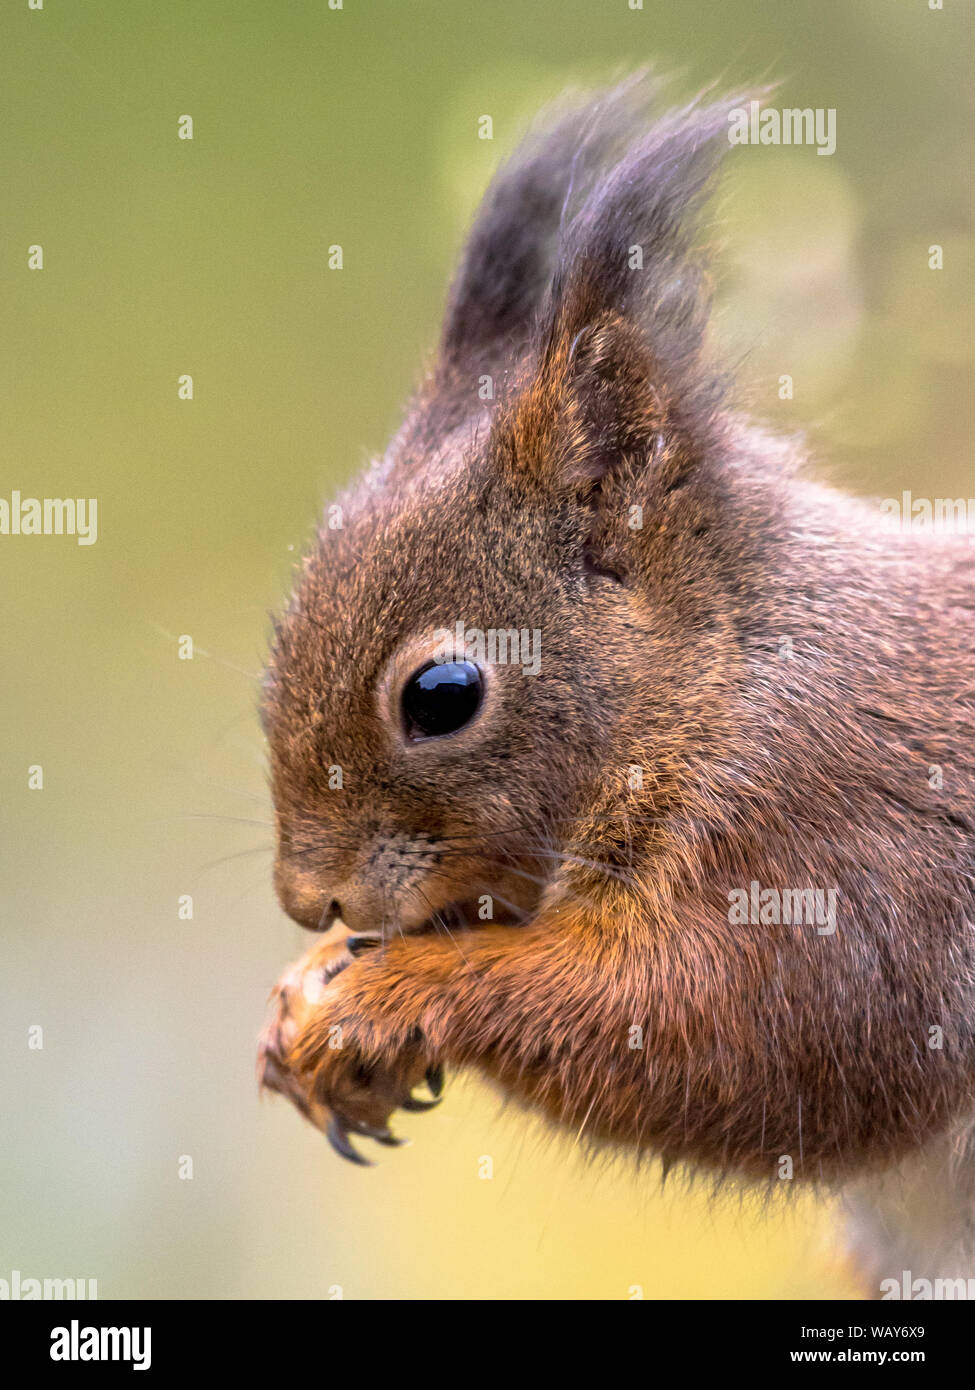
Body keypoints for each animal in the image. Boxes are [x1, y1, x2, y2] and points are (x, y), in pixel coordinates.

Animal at [257, 76, 975, 1289]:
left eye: (441, 696)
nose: (311, 897)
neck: (719, 684)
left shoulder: (838, 851)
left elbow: (736, 1042)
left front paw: (395, 995)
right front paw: (305, 995)